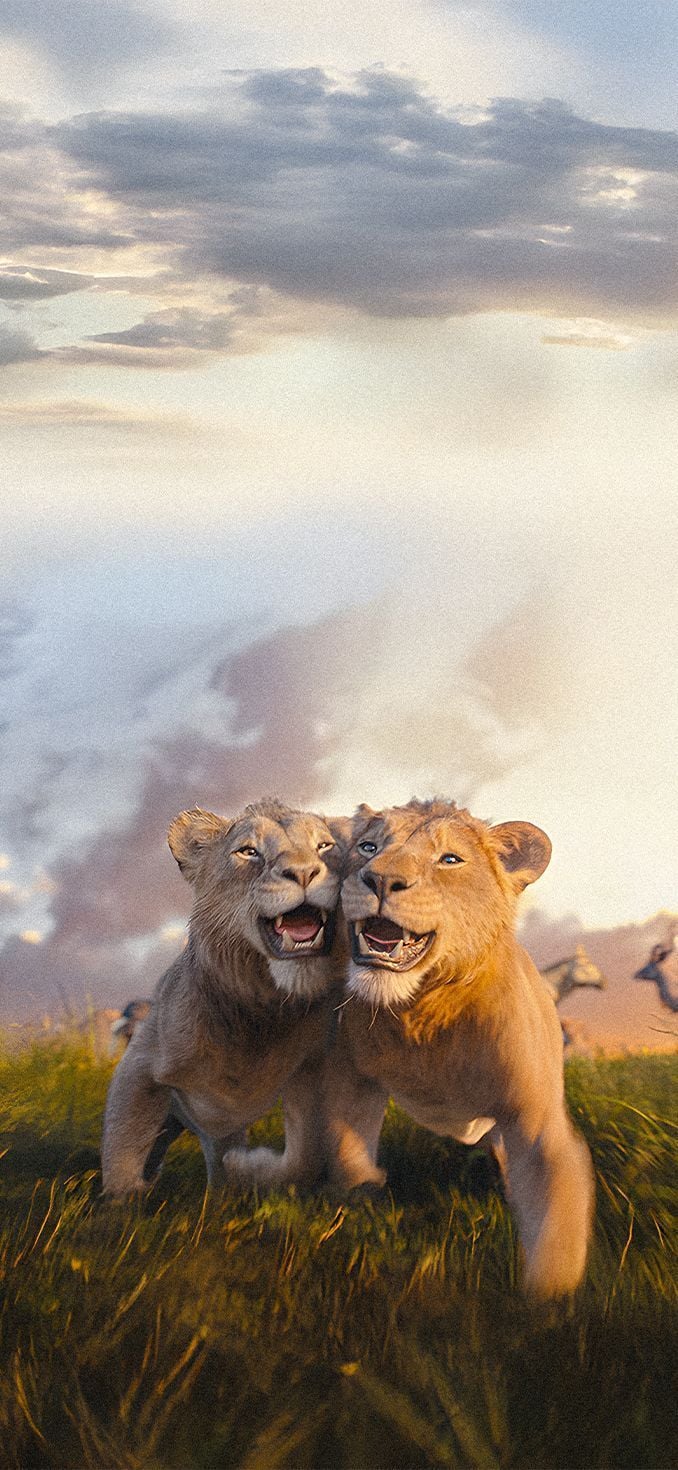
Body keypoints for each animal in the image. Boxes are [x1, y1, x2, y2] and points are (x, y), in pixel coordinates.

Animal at [102, 800, 346, 1196]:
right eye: (249, 851)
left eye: (324, 846)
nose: (305, 872)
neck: (260, 1005)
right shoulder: (139, 1064)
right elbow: (122, 1153)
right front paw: (124, 1204)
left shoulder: (311, 1069)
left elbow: (306, 1157)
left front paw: (250, 1169)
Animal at [325, 798, 594, 1298]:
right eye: (369, 847)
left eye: (449, 859)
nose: (379, 879)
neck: (421, 1011)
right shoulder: (351, 1077)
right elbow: (347, 1157)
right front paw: (367, 1192)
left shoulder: (535, 1119)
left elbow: (558, 1218)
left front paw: (545, 1305)